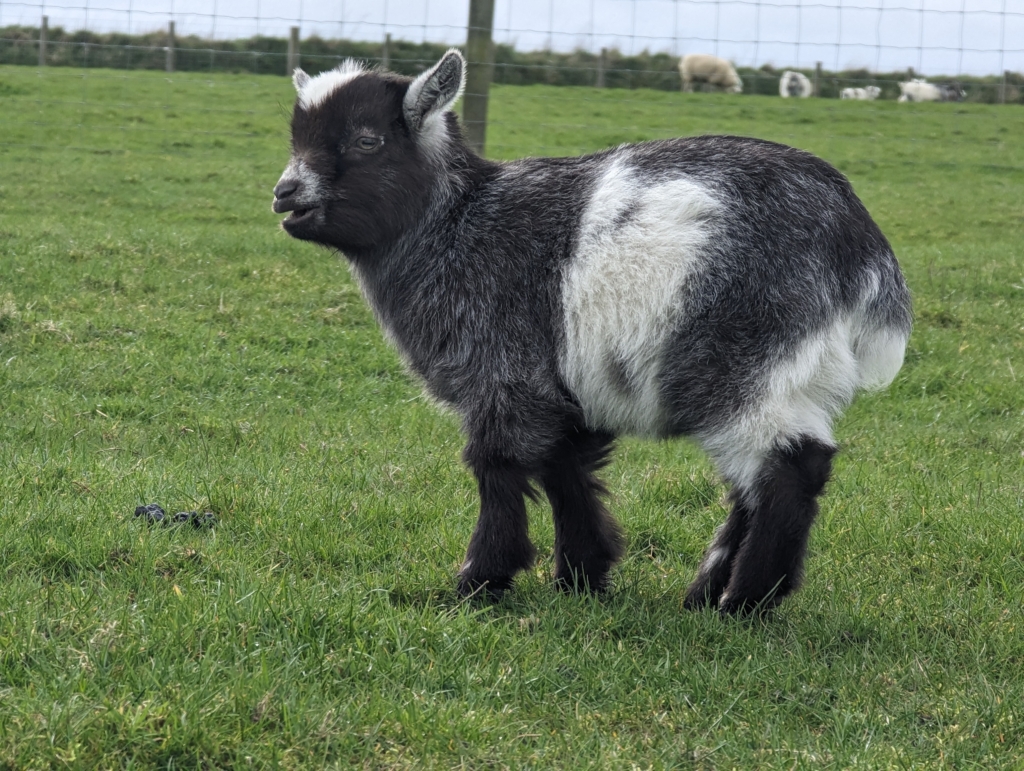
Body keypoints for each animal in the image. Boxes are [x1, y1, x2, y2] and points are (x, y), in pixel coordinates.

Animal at [272, 50, 912, 614]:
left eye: (367, 140)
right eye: (296, 138)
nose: (285, 193)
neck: (459, 225)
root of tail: (861, 244)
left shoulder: (503, 373)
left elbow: (497, 468)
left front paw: (479, 583)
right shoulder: (557, 387)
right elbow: (565, 468)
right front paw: (582, 576)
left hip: (744, 358)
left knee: (791, 468)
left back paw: (744, 601)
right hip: (790, 368)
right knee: (754, 481)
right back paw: (706, 596)